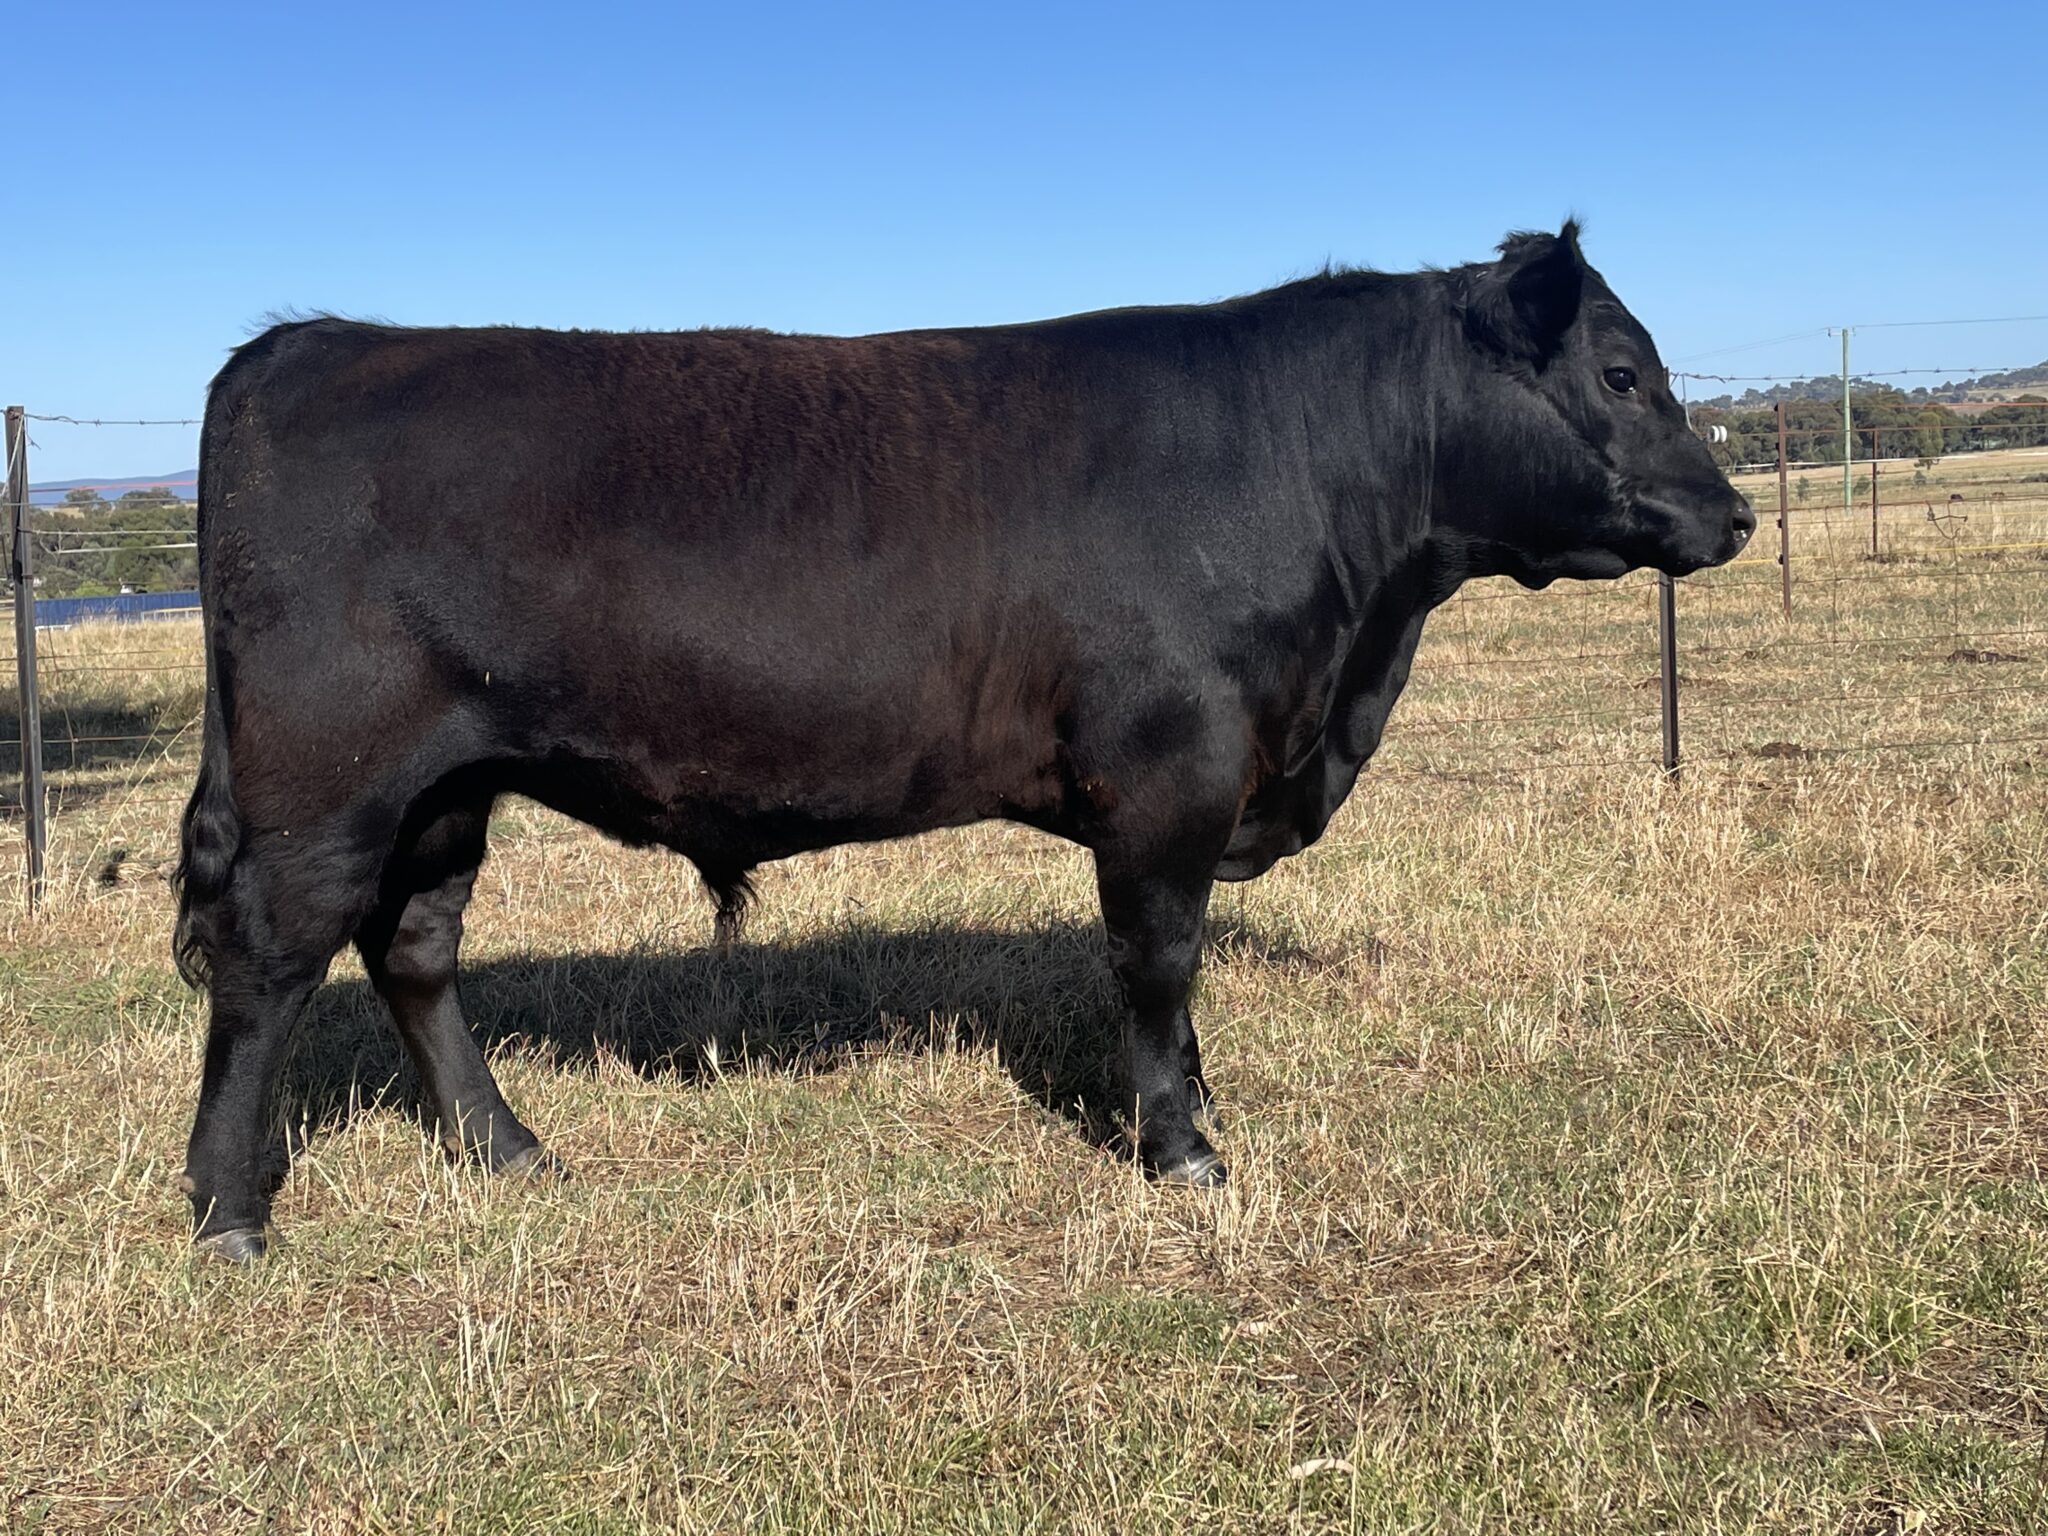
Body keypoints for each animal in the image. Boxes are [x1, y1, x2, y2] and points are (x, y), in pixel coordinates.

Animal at [173, 222, 1753, 1260]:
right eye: (1622, 372)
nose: (1732, 515)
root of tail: (305, 341)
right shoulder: (1168, 776)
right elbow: (1157, 963)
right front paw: (1182, 1152)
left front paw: (1196, 1108)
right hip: (328, 781)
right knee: (269, 962)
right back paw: (231, 1213)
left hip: (449, 785)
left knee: (414, 949)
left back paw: (507, 1152)